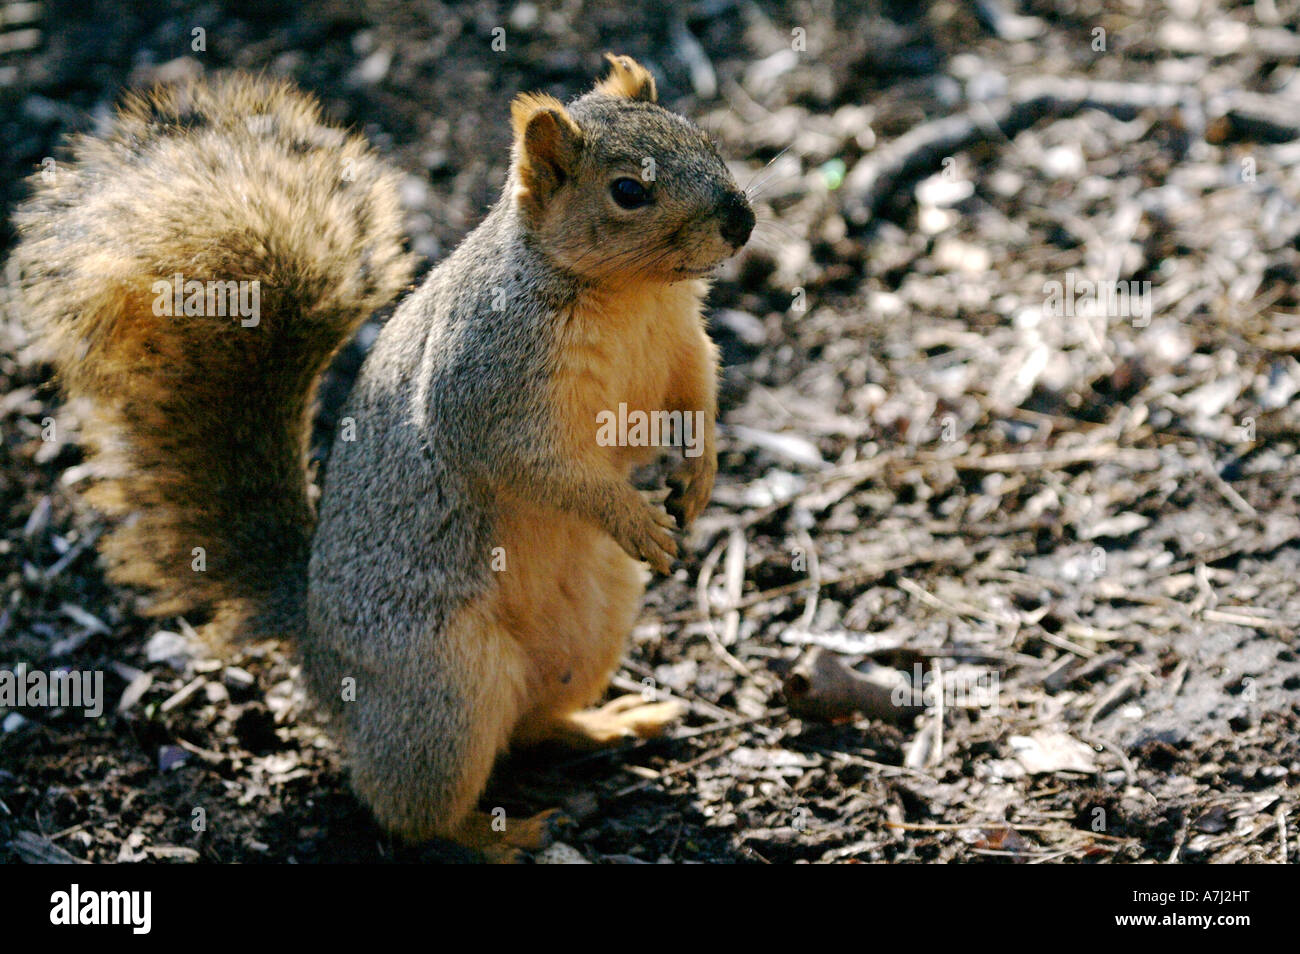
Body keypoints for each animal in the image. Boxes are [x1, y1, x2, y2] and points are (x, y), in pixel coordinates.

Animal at [12, 54, 754, 857]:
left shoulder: (681, 342)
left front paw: (702, 473)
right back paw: (499, 835)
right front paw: (632, 515)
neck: (631, 293)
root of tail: (313, 643)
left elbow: (699, 394)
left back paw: (608, 722)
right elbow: (534, 464)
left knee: (533, 726)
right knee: (412, 811)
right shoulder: (484, 382)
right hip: (443, 692)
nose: (742, 221)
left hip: (593, 627)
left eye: (704, 138)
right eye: (628, 192)